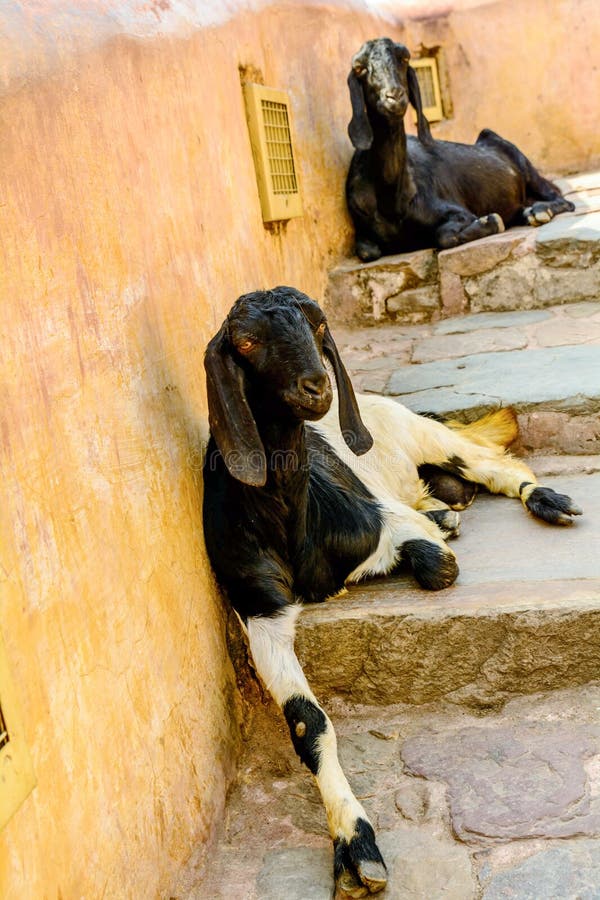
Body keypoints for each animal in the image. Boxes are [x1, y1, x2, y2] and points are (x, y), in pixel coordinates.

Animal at [202, 286, 581, 896]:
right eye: (247, 342)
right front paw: (355, 845)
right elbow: (308, 723)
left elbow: (436, 565)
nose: (317, 386)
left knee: (488, 463)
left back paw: (543, 499)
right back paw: (449, 507)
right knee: (448, 487)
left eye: (317, 327)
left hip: (424, 432)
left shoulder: (386, 521)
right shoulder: (259, 614)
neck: (289, 516)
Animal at [346, 38, 575, 261]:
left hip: (526, 168)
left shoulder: (457, 211)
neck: (390, 196)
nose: (394, 96)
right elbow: (367, 251)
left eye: (403, 59)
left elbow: (444, 235)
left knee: (561, 197)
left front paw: (491, 221)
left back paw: (539, 211)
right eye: (360, 68)